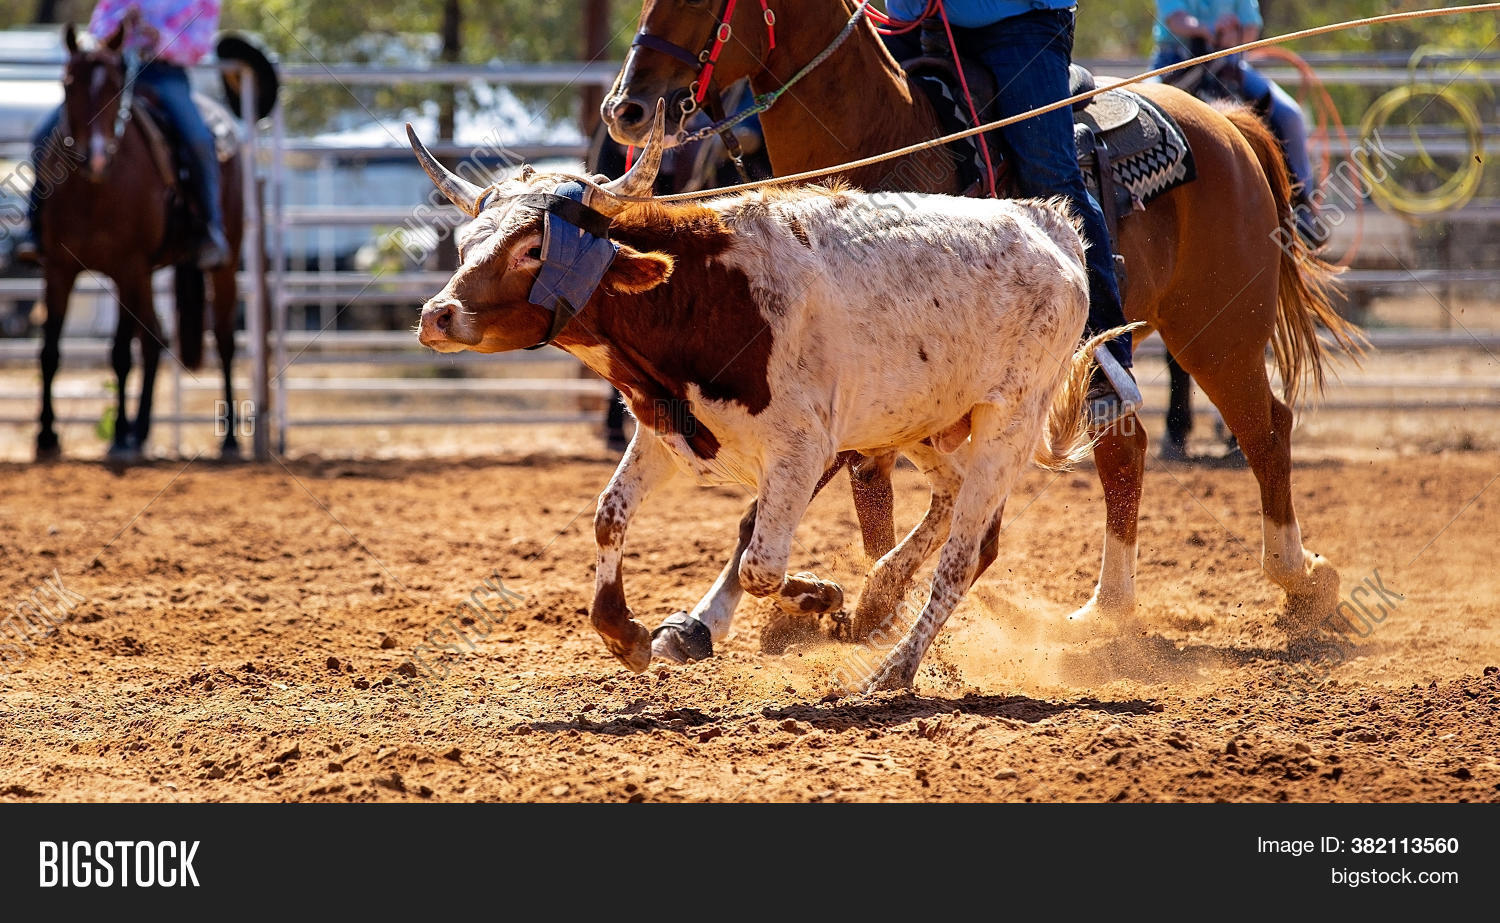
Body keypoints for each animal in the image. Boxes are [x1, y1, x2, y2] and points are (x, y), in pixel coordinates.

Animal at [408, 103, 1123, 691]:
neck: (704, 291)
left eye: (533, 246)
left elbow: (760, 563)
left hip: (1008, 422)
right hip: (920, 421)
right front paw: (629, 632)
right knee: (953, 502)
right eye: (468, 243)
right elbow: (611, 515)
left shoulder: (804, 449)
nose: (437, 315)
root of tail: (1047, 222)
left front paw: (814, 599)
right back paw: (881, 591)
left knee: (966, 552)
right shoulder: (664, 430)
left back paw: (895, 665)